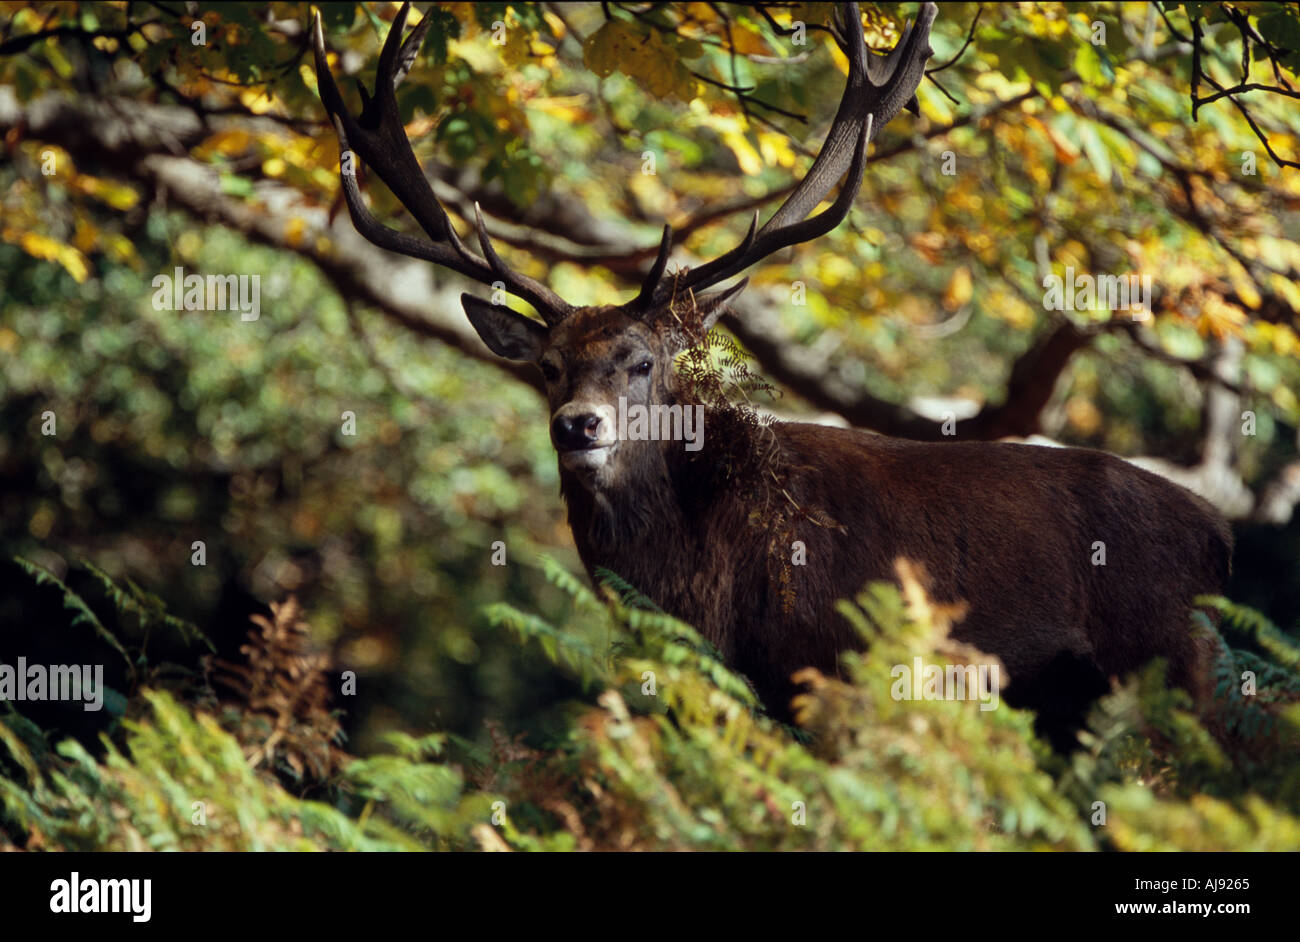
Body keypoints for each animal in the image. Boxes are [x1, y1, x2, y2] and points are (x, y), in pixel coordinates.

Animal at [313, 3, 1232, 749]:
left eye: (643, 360)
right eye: (547, 366)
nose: (578, 425)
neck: (706, 594)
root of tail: (1217, 534)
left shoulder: (832, 671)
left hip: (1165, 663)